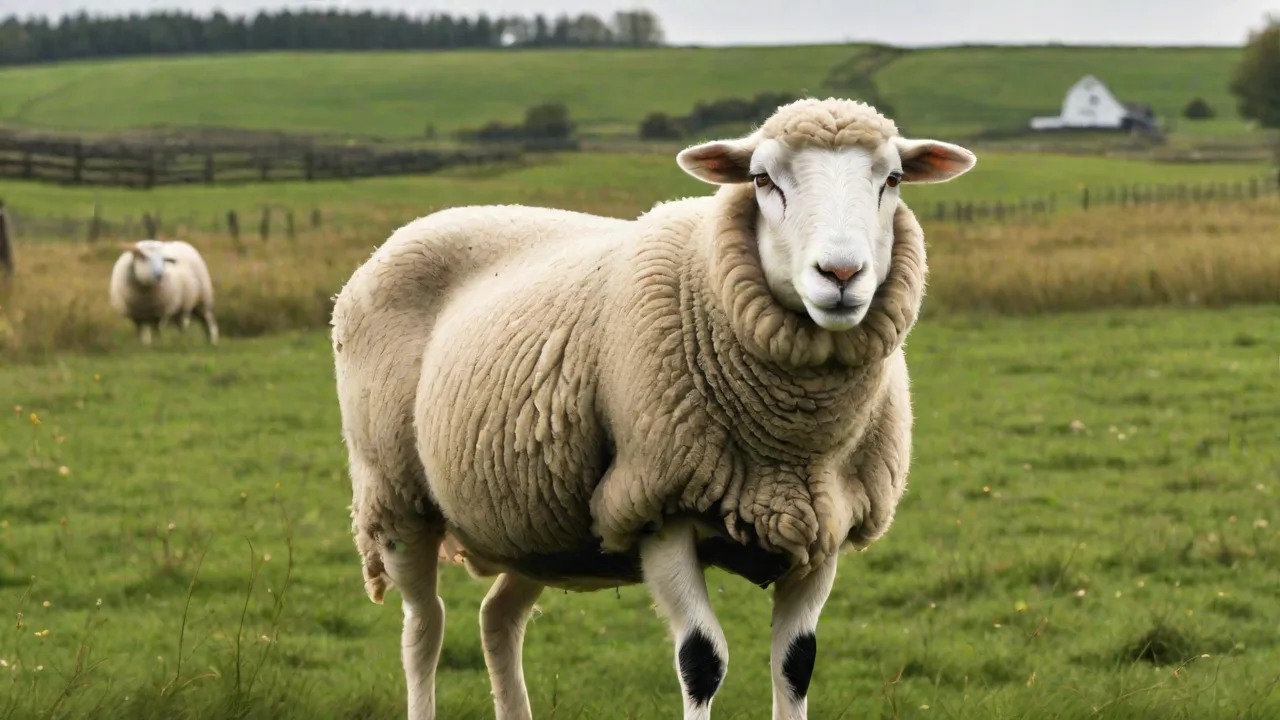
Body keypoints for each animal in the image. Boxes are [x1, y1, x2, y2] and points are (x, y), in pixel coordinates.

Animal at [330, 96, 976, 720]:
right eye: (762, 179)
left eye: (892, 178)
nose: (841, 273)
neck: (793, 442)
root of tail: (410, 229)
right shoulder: (657, 503)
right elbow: (702, 661)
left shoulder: (823, 524)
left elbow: (796, 665)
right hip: (396, 495)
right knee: (425, 629)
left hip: (534, 522)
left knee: (498, 619)